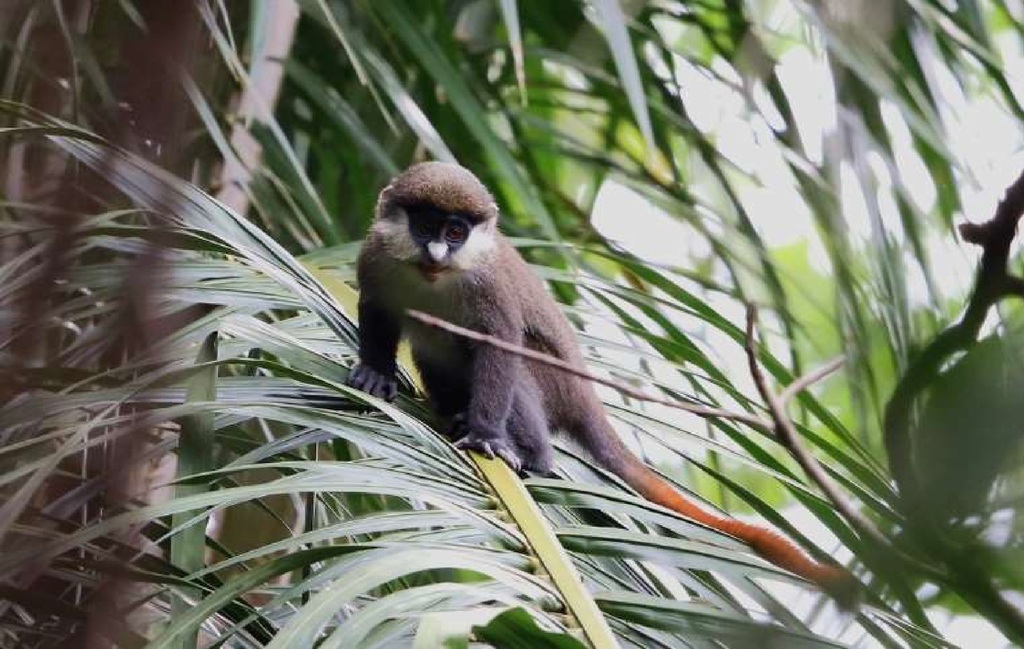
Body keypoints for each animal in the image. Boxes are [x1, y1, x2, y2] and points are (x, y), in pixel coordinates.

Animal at [347, 161, 858, 604]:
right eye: (426, 227)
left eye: (455, 232)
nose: (437, 252)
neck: (435, 277)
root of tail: (584, 397)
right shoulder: (374, 255)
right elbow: (375, 307)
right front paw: (375, 371)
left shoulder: (487, 288)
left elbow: (502, 346)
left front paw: (487, 436)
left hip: (557, 385)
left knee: (522, 371)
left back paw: (532, 456)